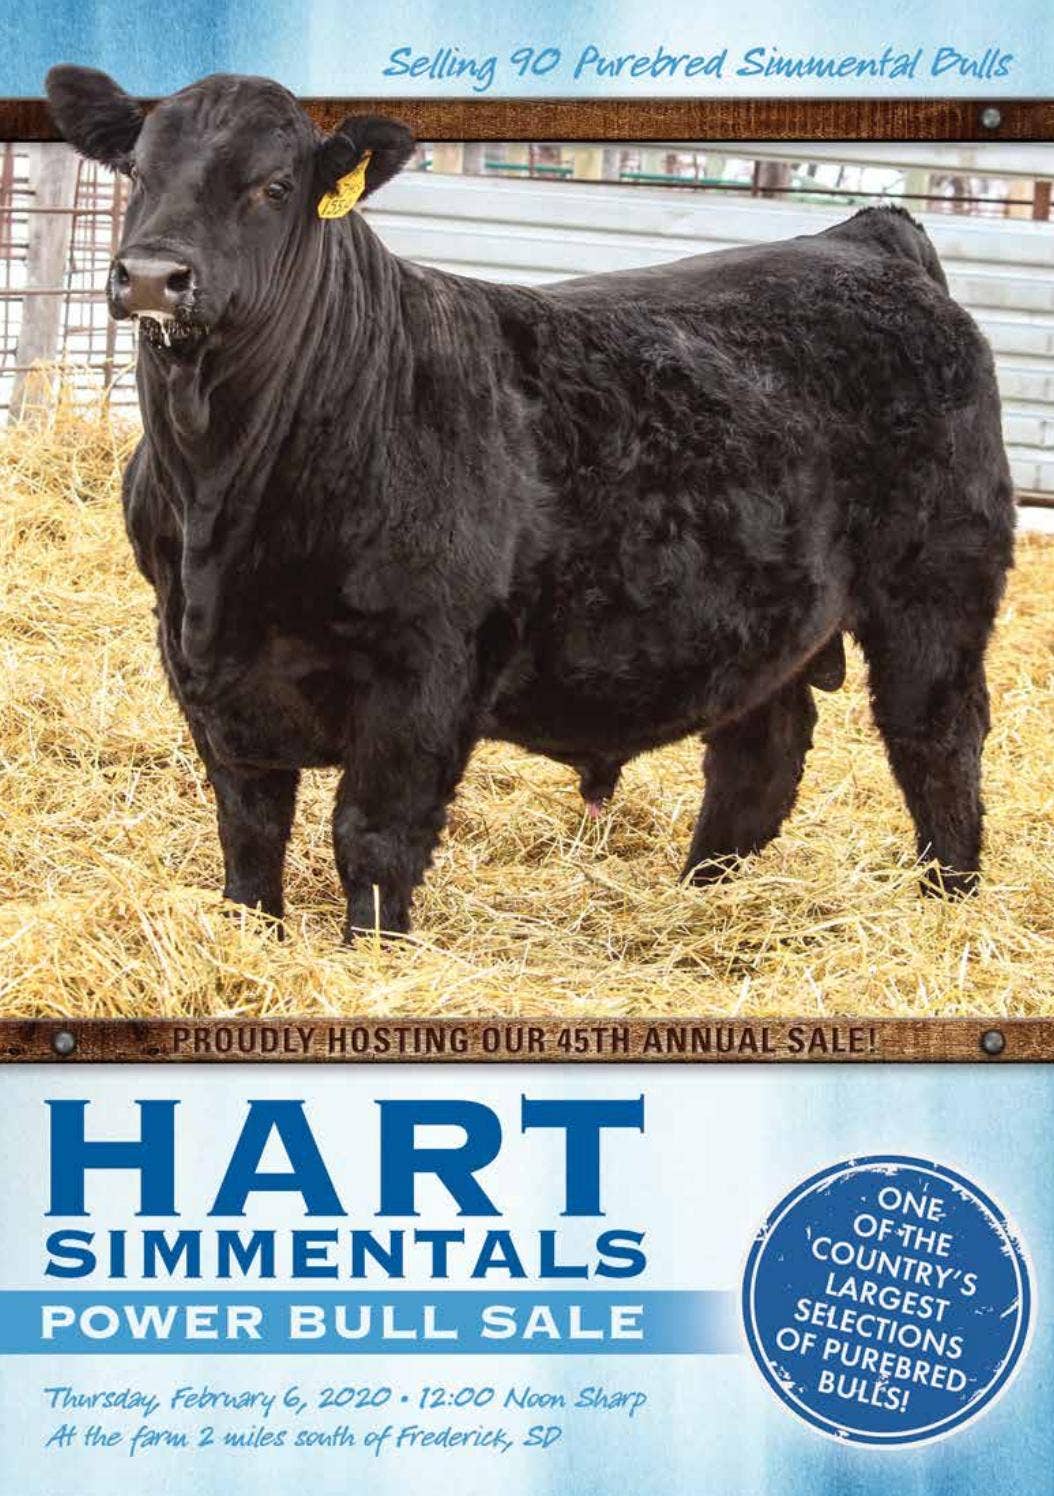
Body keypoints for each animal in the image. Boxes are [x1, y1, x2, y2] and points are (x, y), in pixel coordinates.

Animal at [45, 67, 1016, 940]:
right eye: (137, 172)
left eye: (274, 187)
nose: (152, 276)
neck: (224, 507)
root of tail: (864, 239)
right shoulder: (200, 664)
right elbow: (249, 832)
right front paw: (255, 936)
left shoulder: (425, 666)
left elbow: (374, 836)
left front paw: (374, 955)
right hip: (762, 615)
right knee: (759, 750)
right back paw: (702, 899)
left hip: (936, 587)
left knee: (937, 735)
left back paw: (951, 905)